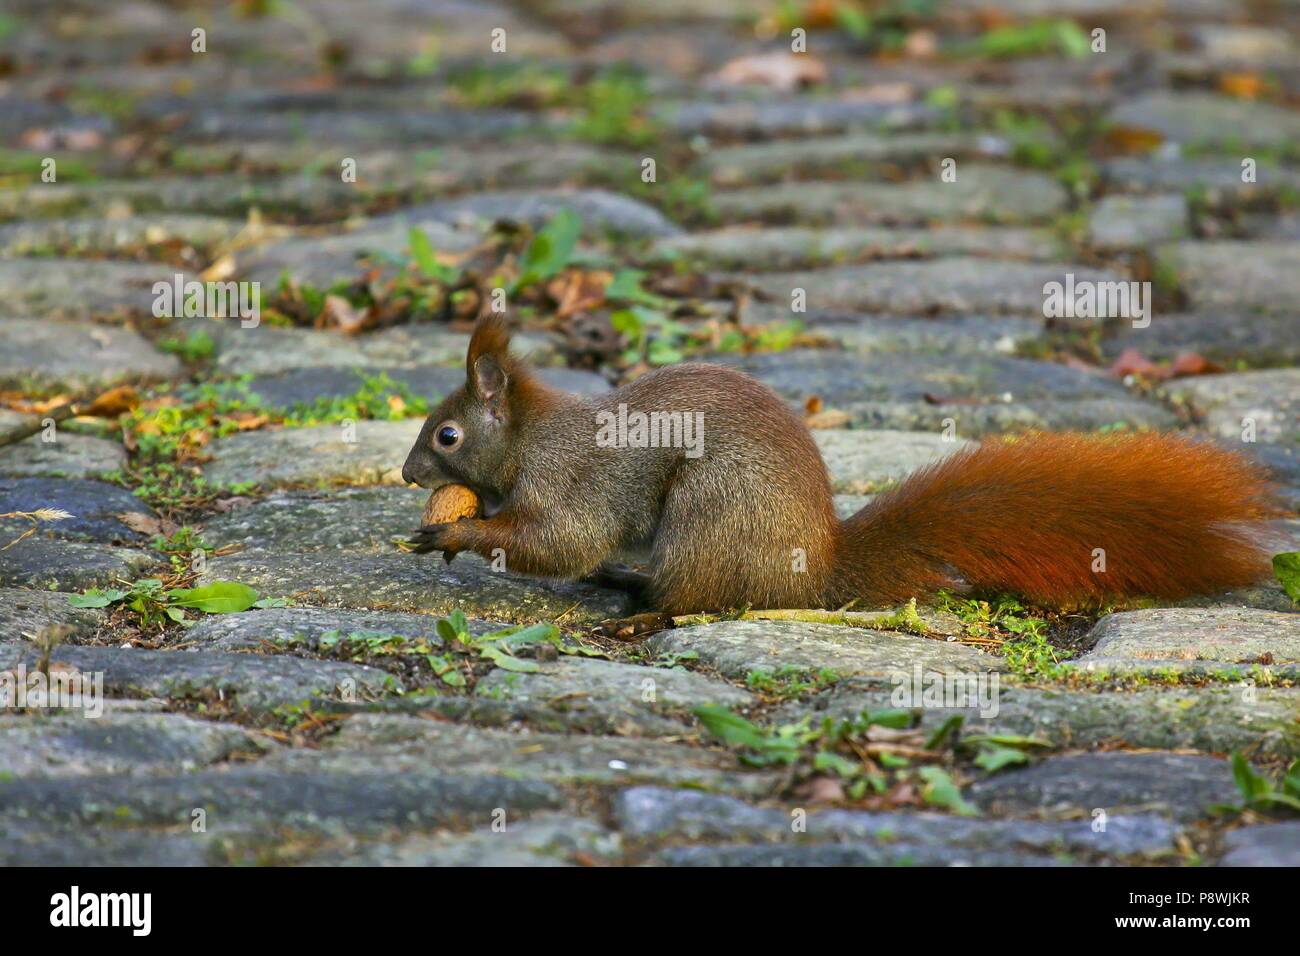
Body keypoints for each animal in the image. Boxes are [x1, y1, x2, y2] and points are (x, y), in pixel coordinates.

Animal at [404, 316, 1282, 617]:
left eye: (445, 435)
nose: (409, 475)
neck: (529, 437)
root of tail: (813, 572)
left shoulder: (574, 482)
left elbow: (564, 539)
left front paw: (457, 535)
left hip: (709, 515)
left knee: (698, 602)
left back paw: (643, 614)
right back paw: (626, 582)